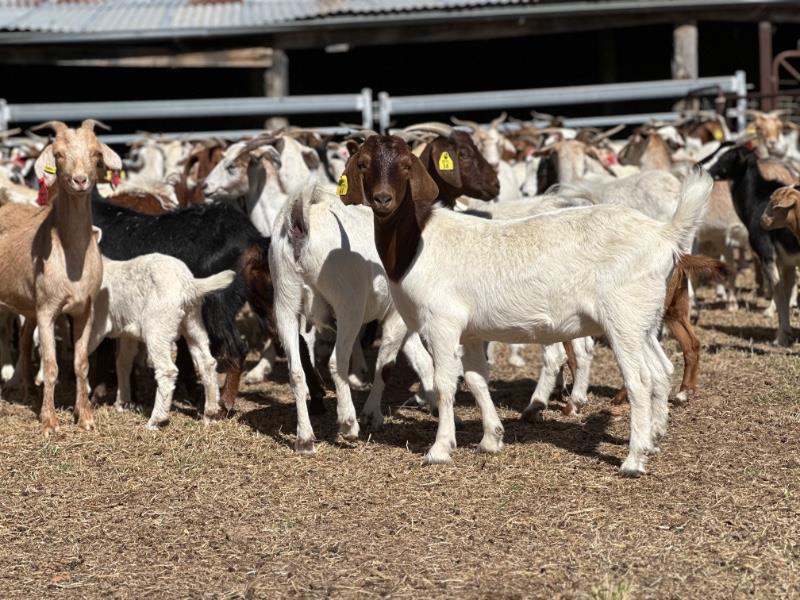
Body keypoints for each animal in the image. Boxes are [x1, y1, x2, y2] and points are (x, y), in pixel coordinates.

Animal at [0, 120, 121, 435]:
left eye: (95, 153)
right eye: (58, 154)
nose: (80, 180)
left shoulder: (84, 309)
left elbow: (81, 363)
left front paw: (86, 416)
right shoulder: (47, 310)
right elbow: (51, 365)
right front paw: (49, 421)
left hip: (28, 304)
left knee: (25, 341)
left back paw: (28, 389)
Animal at [341, 135, 712, 475]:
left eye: (406, 165)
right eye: (363, 164)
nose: (383, 199)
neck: (417, 241)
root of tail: (663, 234)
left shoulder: (442, 323)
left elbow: (445, 383)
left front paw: (440, 448)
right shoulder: (470, 332)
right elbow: (476, 380)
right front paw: (491, 439)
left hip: (622, 318)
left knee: (640, 380)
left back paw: (634, 460)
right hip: (643, 320)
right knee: (661, 369)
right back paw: (654, 438)